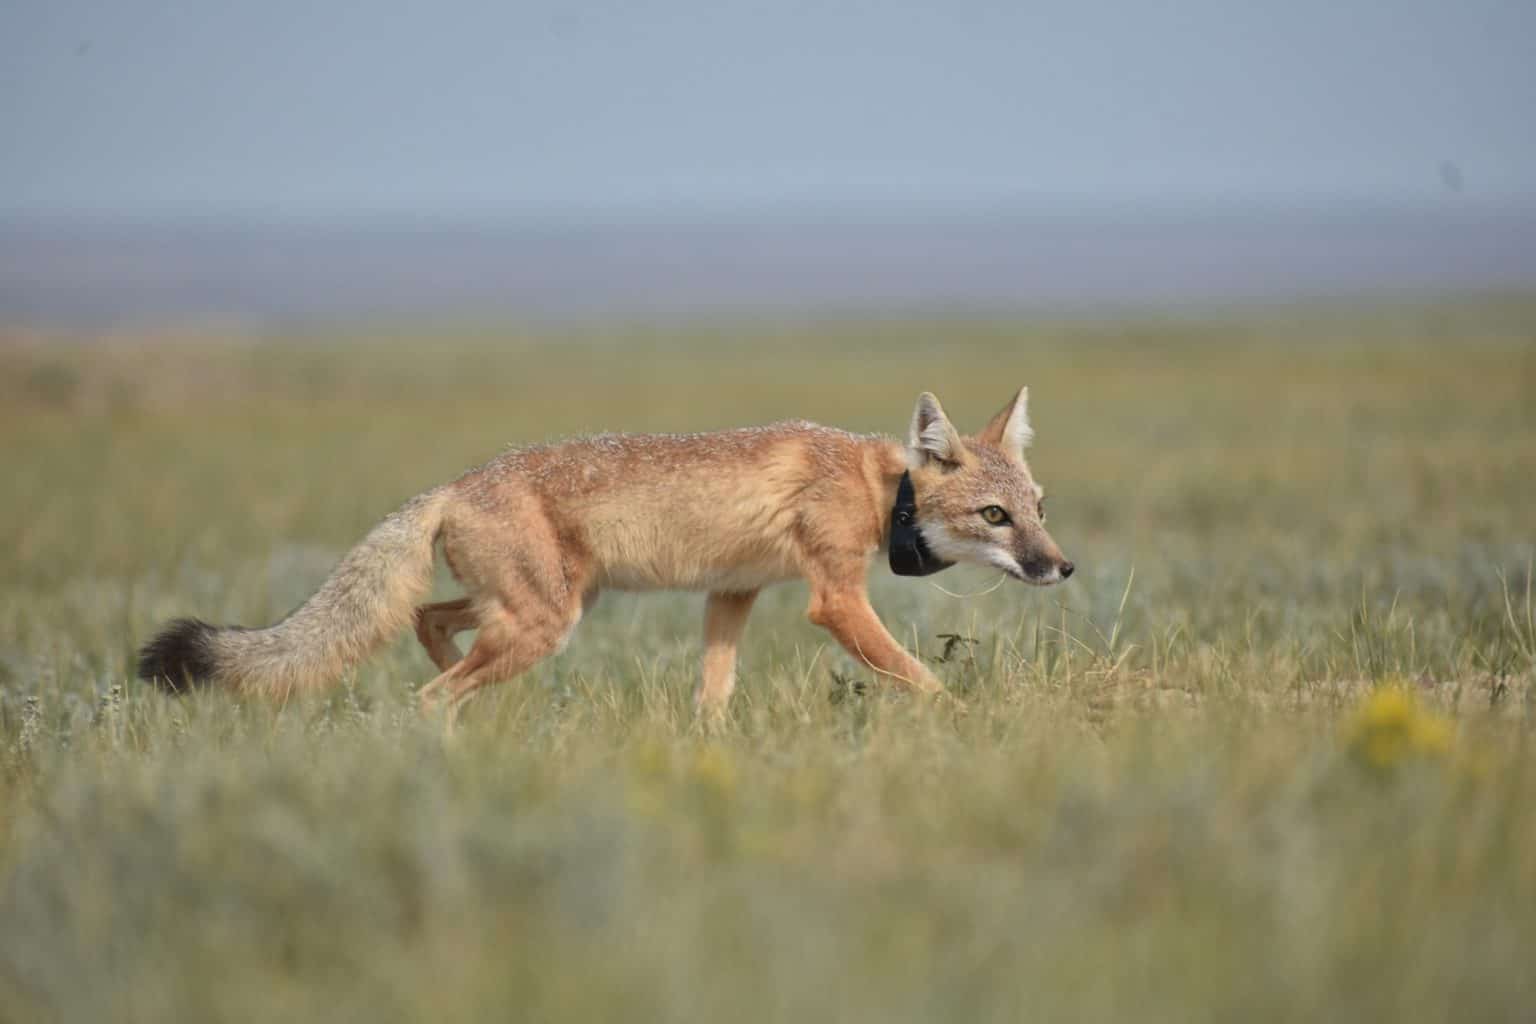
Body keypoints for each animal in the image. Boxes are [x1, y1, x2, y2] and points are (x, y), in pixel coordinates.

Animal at [138, 387, 1073, 722]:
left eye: (1039, 509)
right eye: (994, 517)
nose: (1061, 567)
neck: (881, 487)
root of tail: (452, 484)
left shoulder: (731, 594)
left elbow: (712, 691)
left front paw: (708, 748)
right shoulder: (834, 598)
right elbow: (920, 677)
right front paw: (971, 723)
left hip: (539, 610)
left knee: (427, 624)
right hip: (545, 621)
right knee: (428, 689)